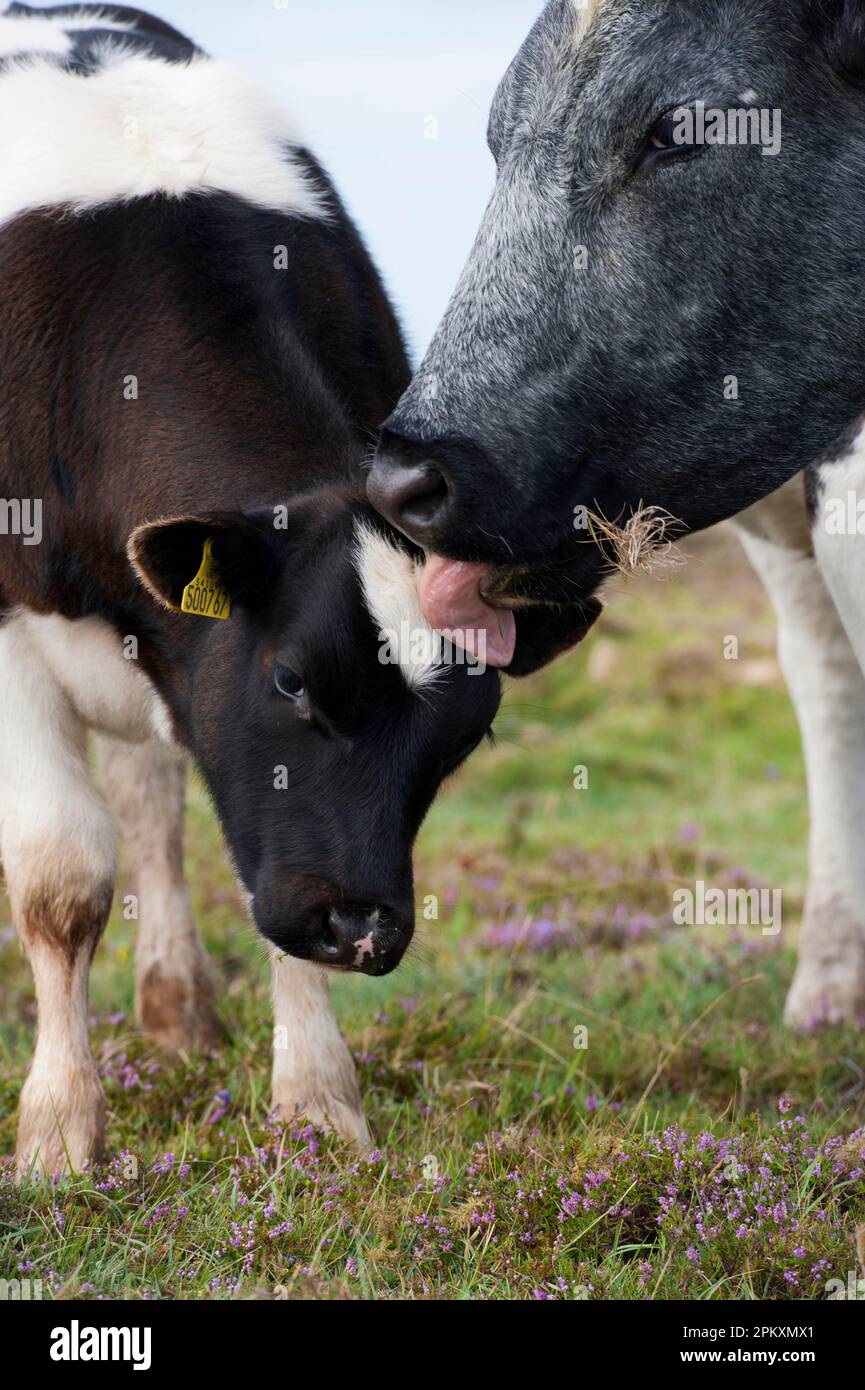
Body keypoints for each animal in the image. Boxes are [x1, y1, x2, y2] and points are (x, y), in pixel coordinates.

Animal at [0, 3, 571, 1179]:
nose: (363, 928)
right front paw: (59, 1131)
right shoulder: (12, 629)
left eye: (470, 733)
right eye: (293, 680)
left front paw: (315, 1105)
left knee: (154, 802)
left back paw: (177, 1006)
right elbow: (60, 881)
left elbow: (259, 867)